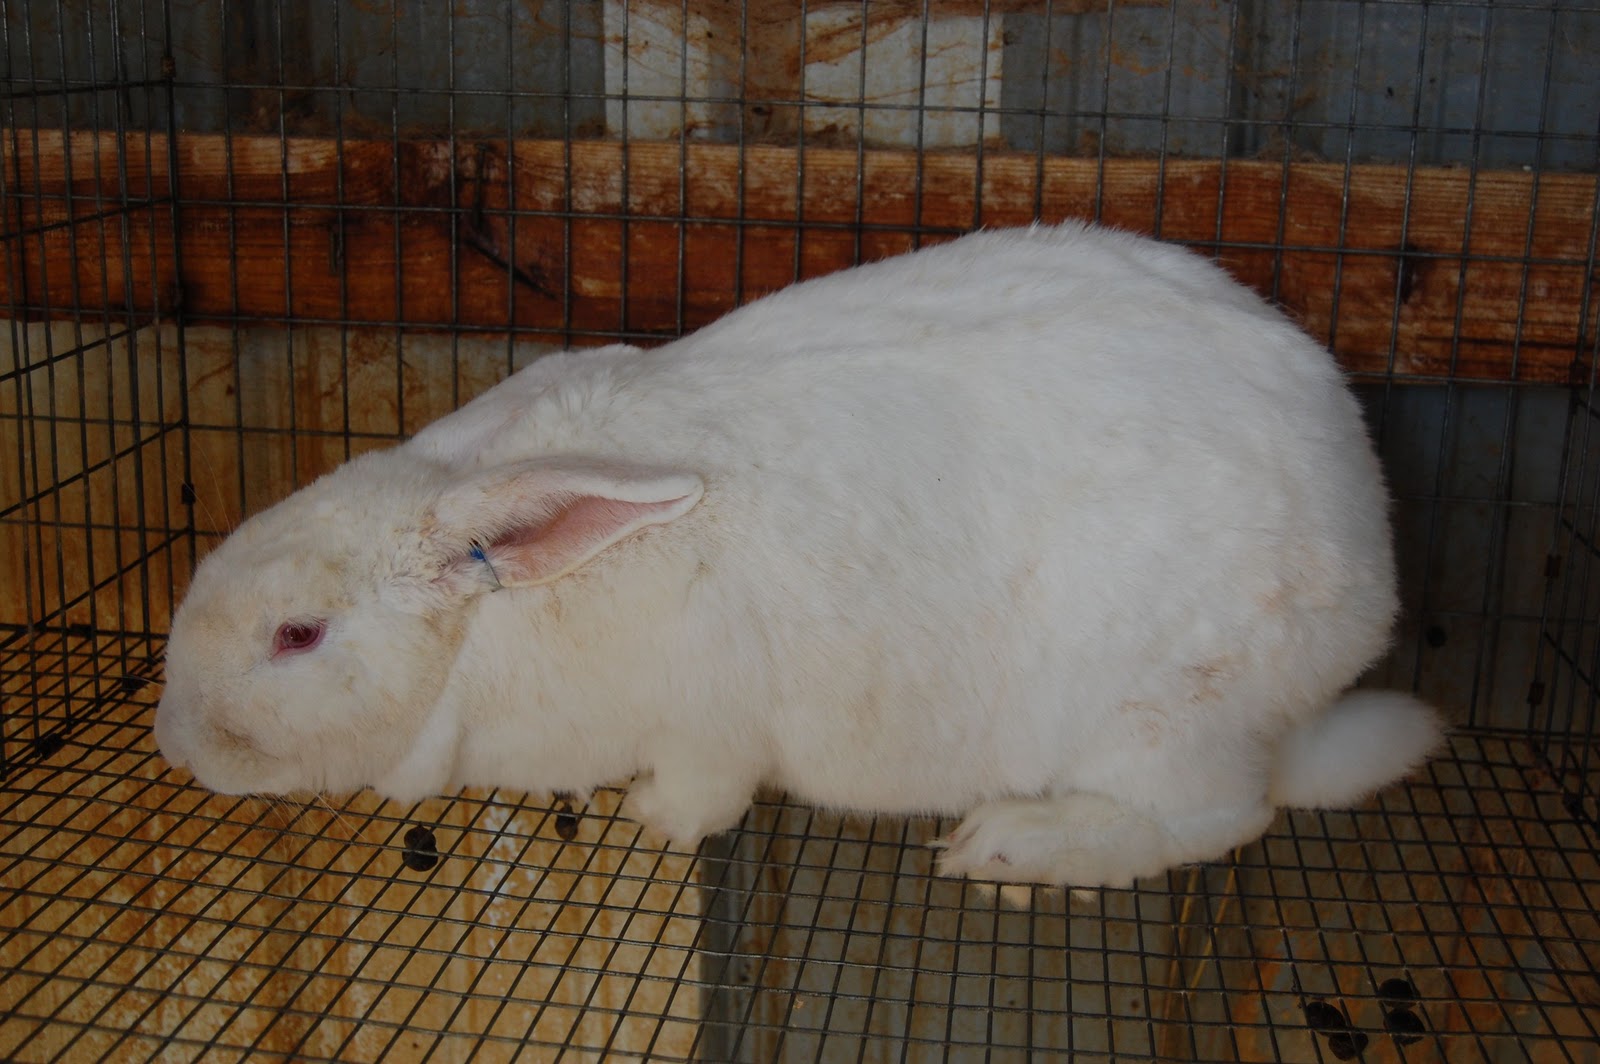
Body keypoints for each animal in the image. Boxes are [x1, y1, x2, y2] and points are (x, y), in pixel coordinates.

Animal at [154, 222, 1446, 889]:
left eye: (297, 635)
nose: (173, 743)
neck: (501, 619)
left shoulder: (708, 717)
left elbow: (704, 792)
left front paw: (650, 819)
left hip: (1160, 715)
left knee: (1222, 816)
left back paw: (1014, 841)